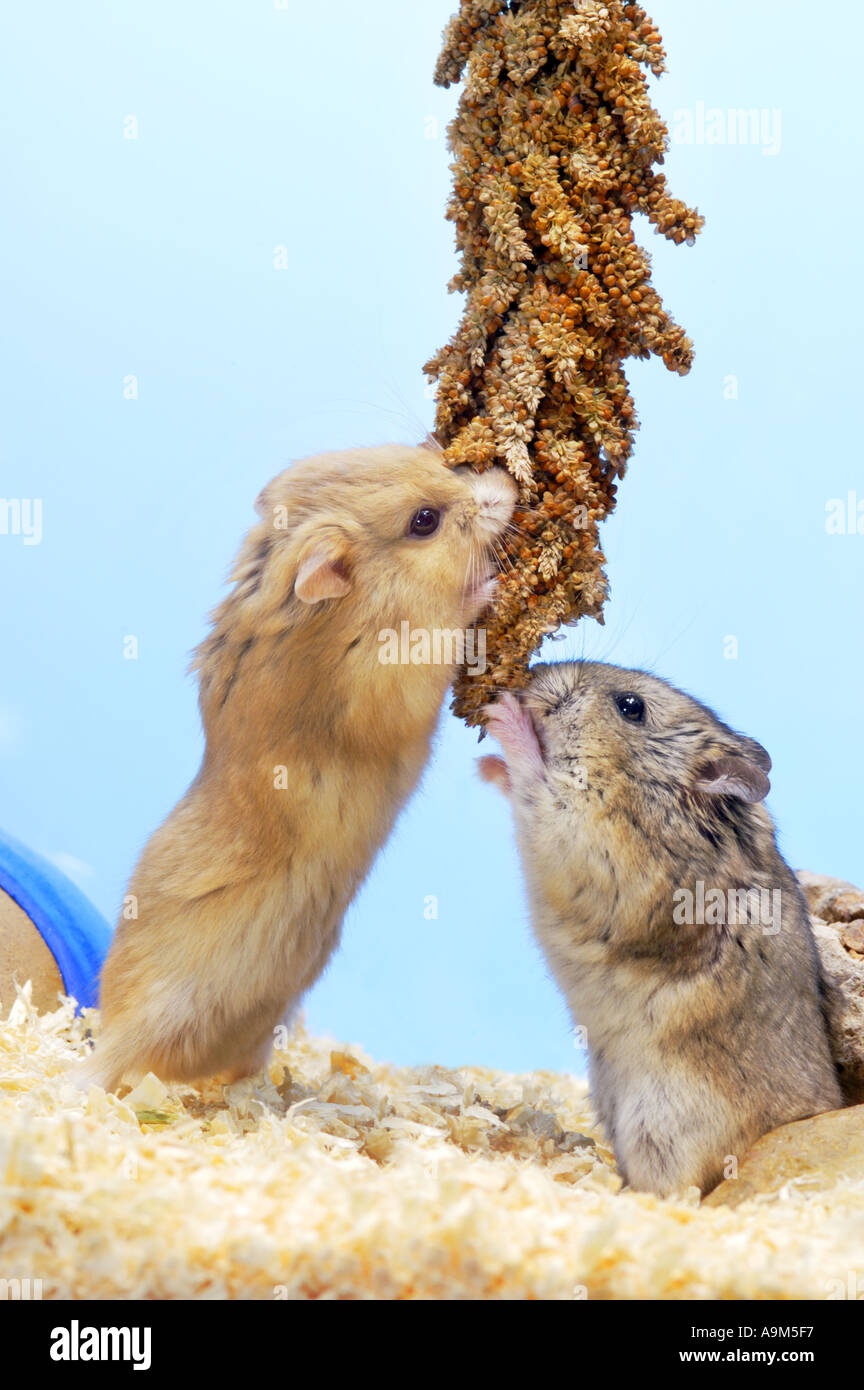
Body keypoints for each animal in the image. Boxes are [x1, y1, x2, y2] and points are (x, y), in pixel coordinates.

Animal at [480, 660, 842, 1198]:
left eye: (631, 707)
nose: (536, 673)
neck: (651, 789)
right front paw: (485, 766)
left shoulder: (589, 836)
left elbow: (539, 782)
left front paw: (504, 715)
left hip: (662, 1127)